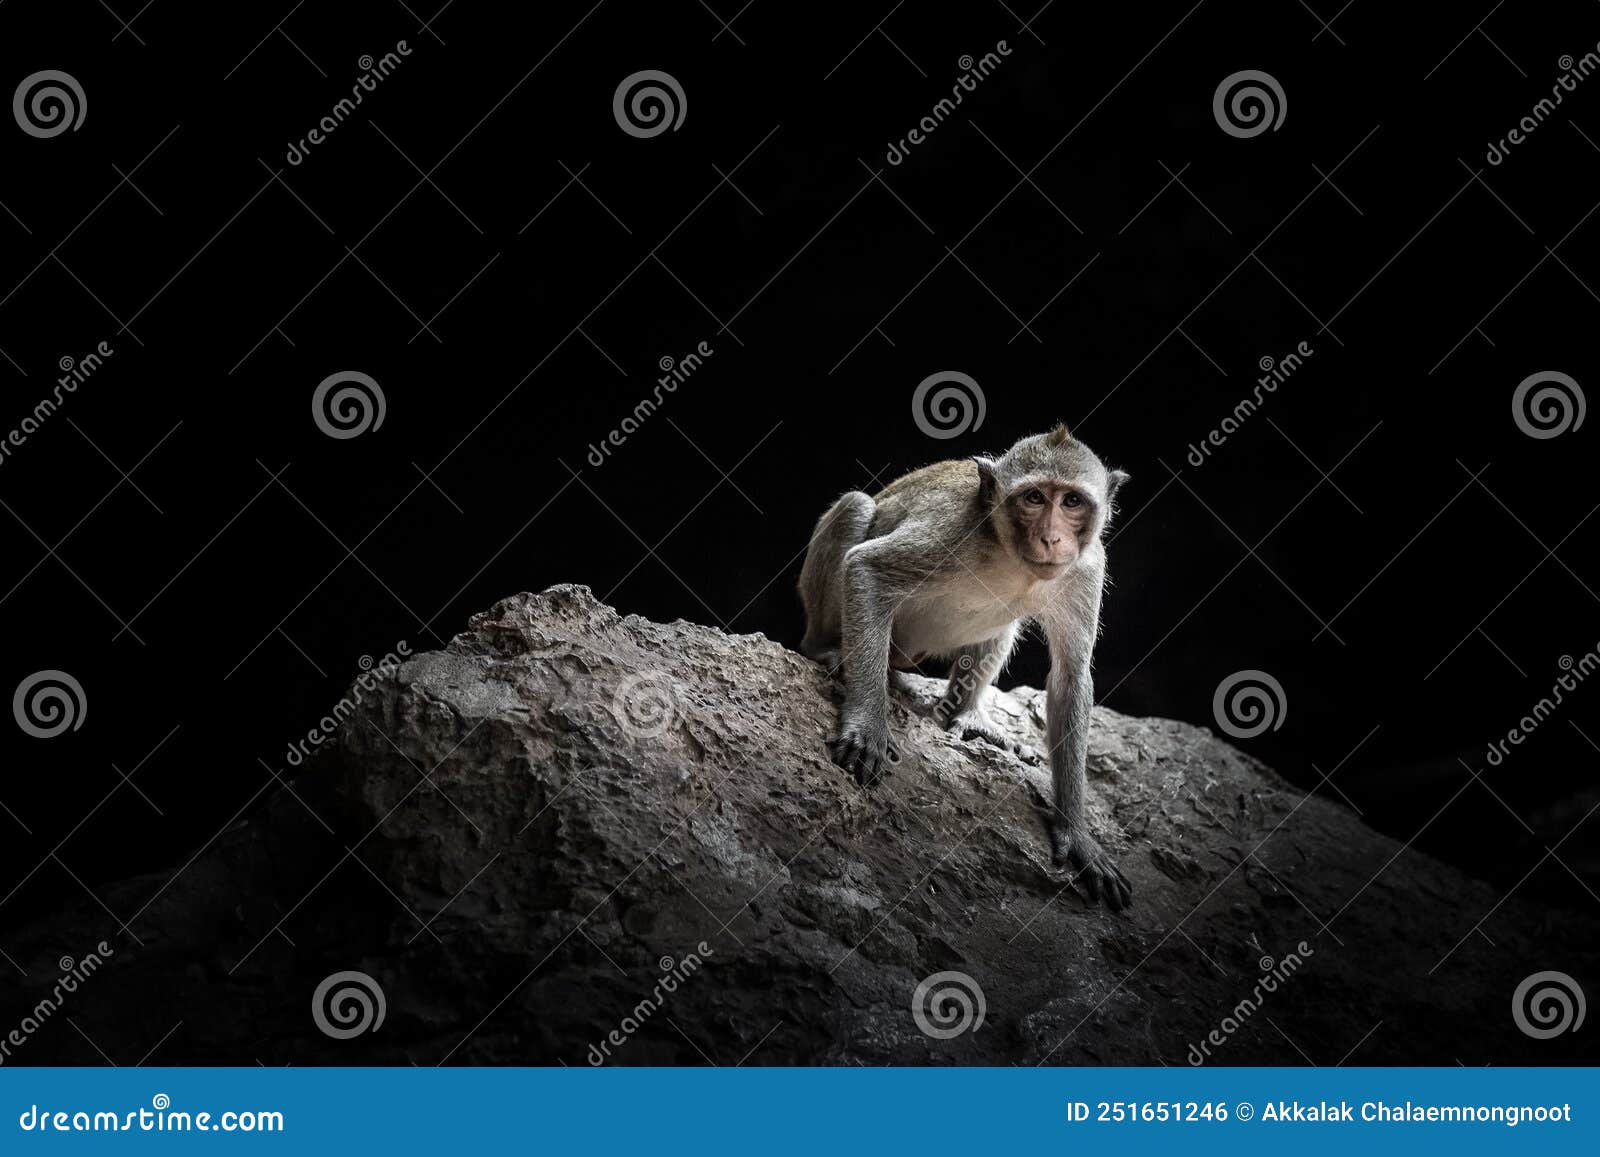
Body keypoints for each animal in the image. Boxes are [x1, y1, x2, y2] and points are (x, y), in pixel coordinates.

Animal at [797, 423, 1132, 909]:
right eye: (1034, 498)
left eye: (1072, 501)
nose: (1051, 538)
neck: (1012, 559)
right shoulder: (954, 534)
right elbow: (867, 568)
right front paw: (867, 723)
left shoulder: (1086, 568)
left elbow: (1071, 679)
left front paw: (1077, 834)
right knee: (858, 507)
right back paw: (829, 650)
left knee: (1002, 623)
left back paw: (969, 711)